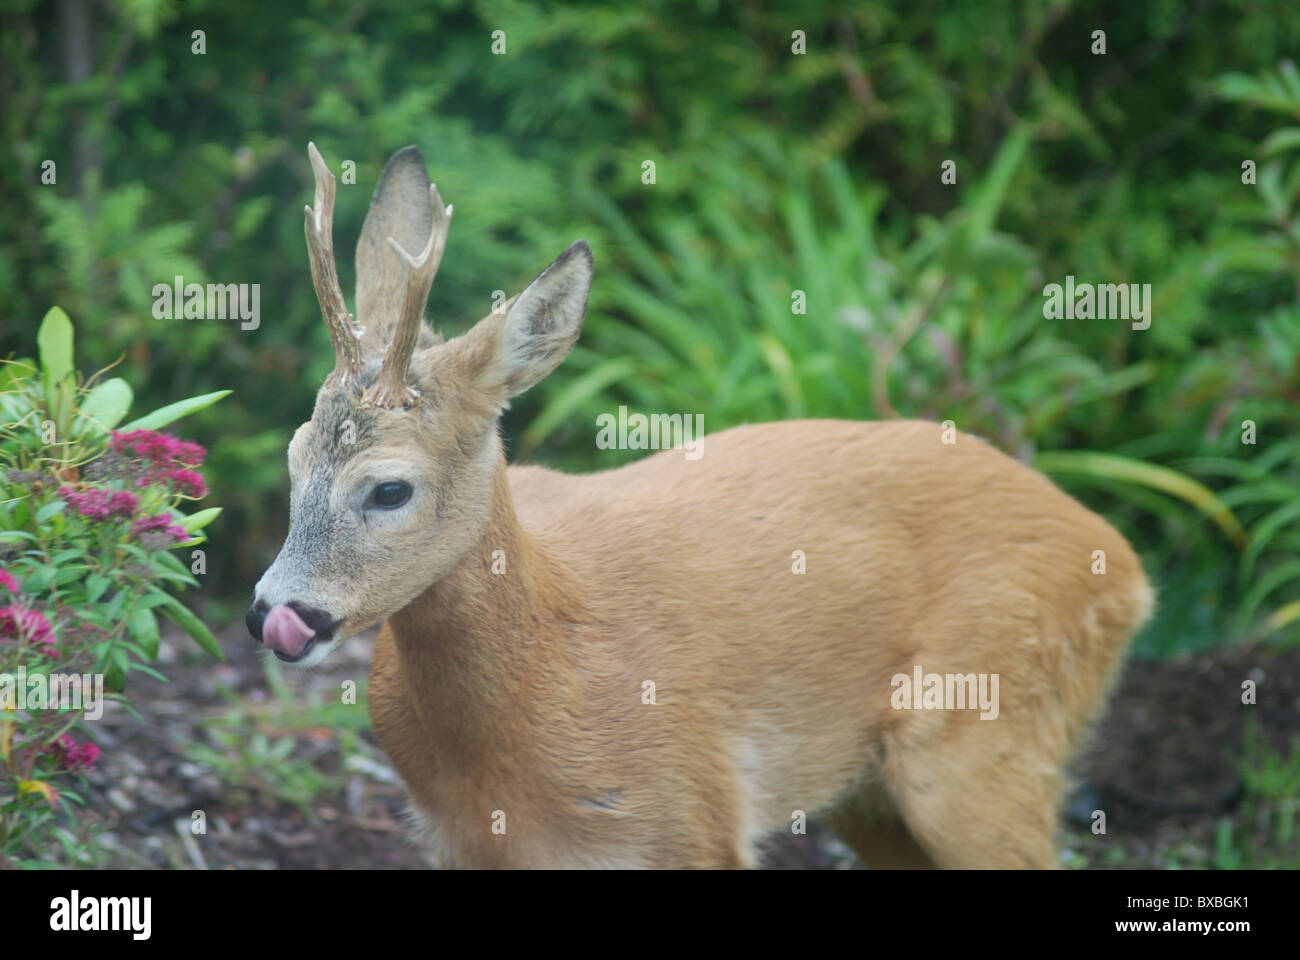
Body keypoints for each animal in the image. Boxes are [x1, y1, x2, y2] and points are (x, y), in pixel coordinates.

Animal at [246, 142, 1156, 869]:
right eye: (293, 459)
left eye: (390, 488)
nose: (273, 612)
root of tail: (1123, 565)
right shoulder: (464, 844)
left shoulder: (692, 816)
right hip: (878, 795)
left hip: (987, 740)